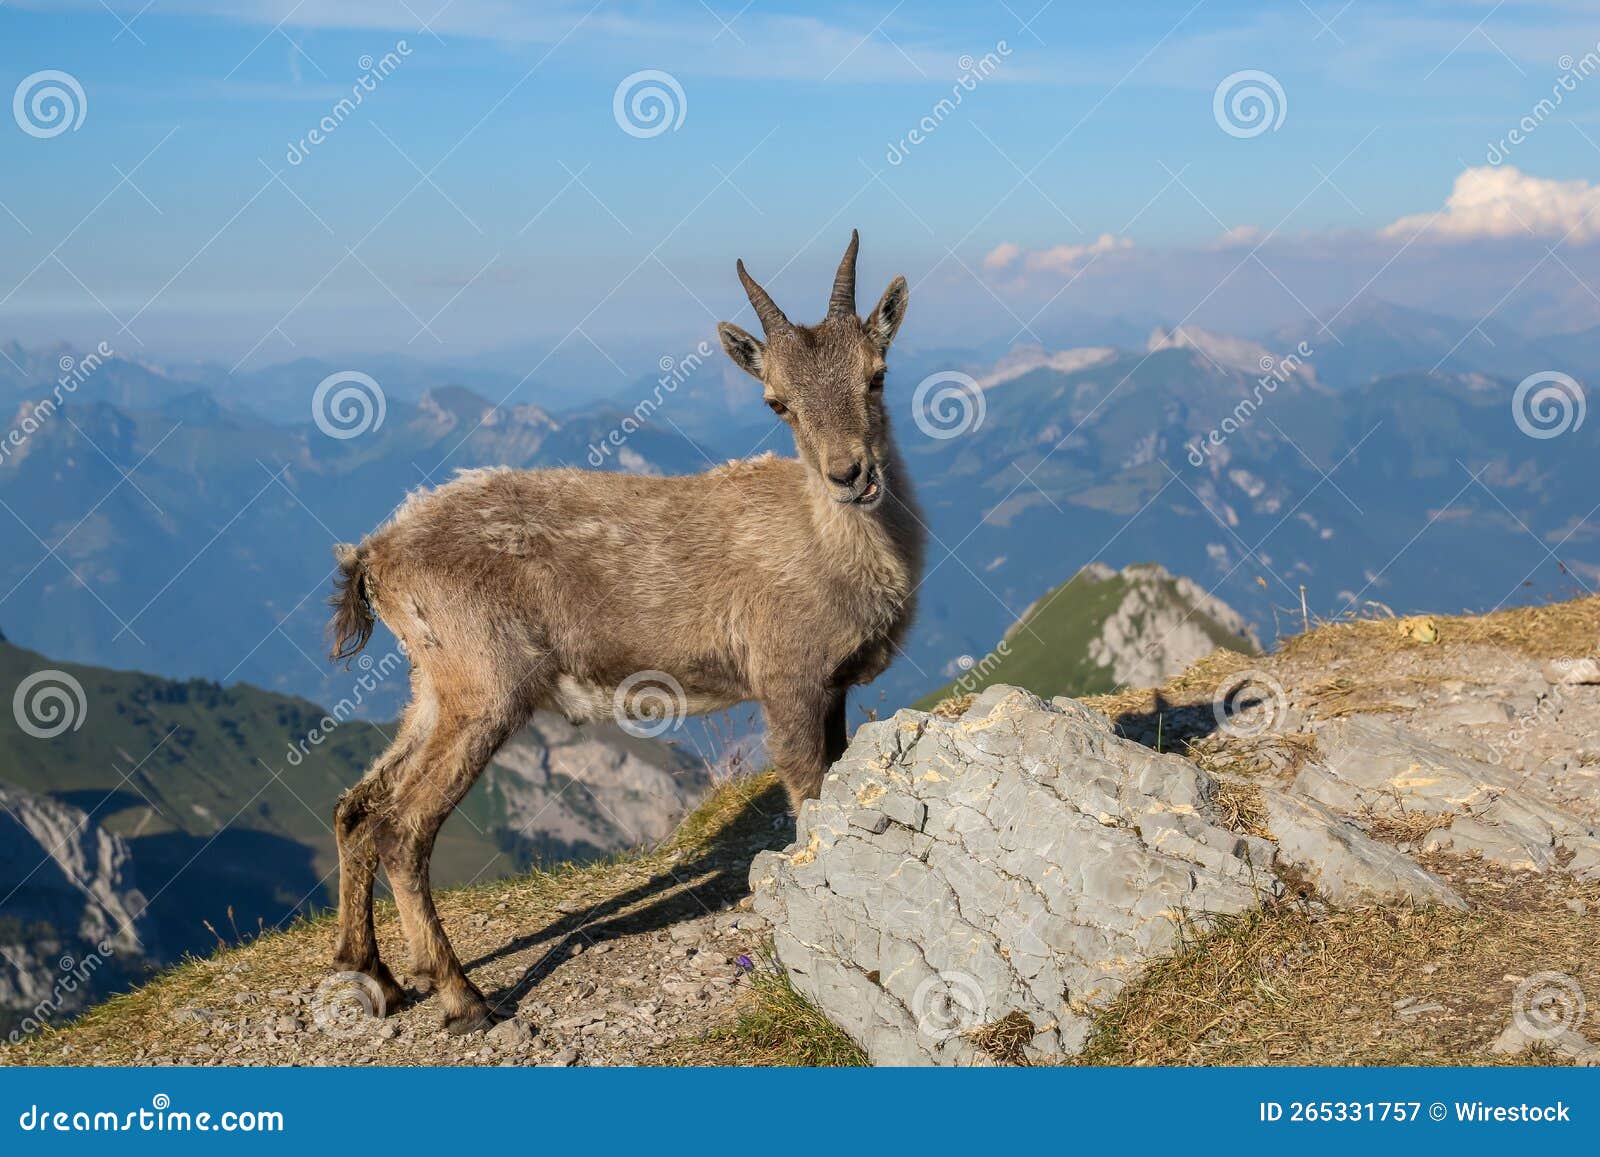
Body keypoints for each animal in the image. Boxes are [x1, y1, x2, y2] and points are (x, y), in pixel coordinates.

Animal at [324, 232, 925, 1032]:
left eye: (877, 376)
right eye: (778, 402)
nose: (850, 475)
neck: (834, 544)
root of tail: (375, 553)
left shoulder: (832, 691)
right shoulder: (788, 681)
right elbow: (808, 793)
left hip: (435, 686)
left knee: (356, 807)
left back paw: (375, 975)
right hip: (486, 689)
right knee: (401, 827)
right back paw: (462, 996)